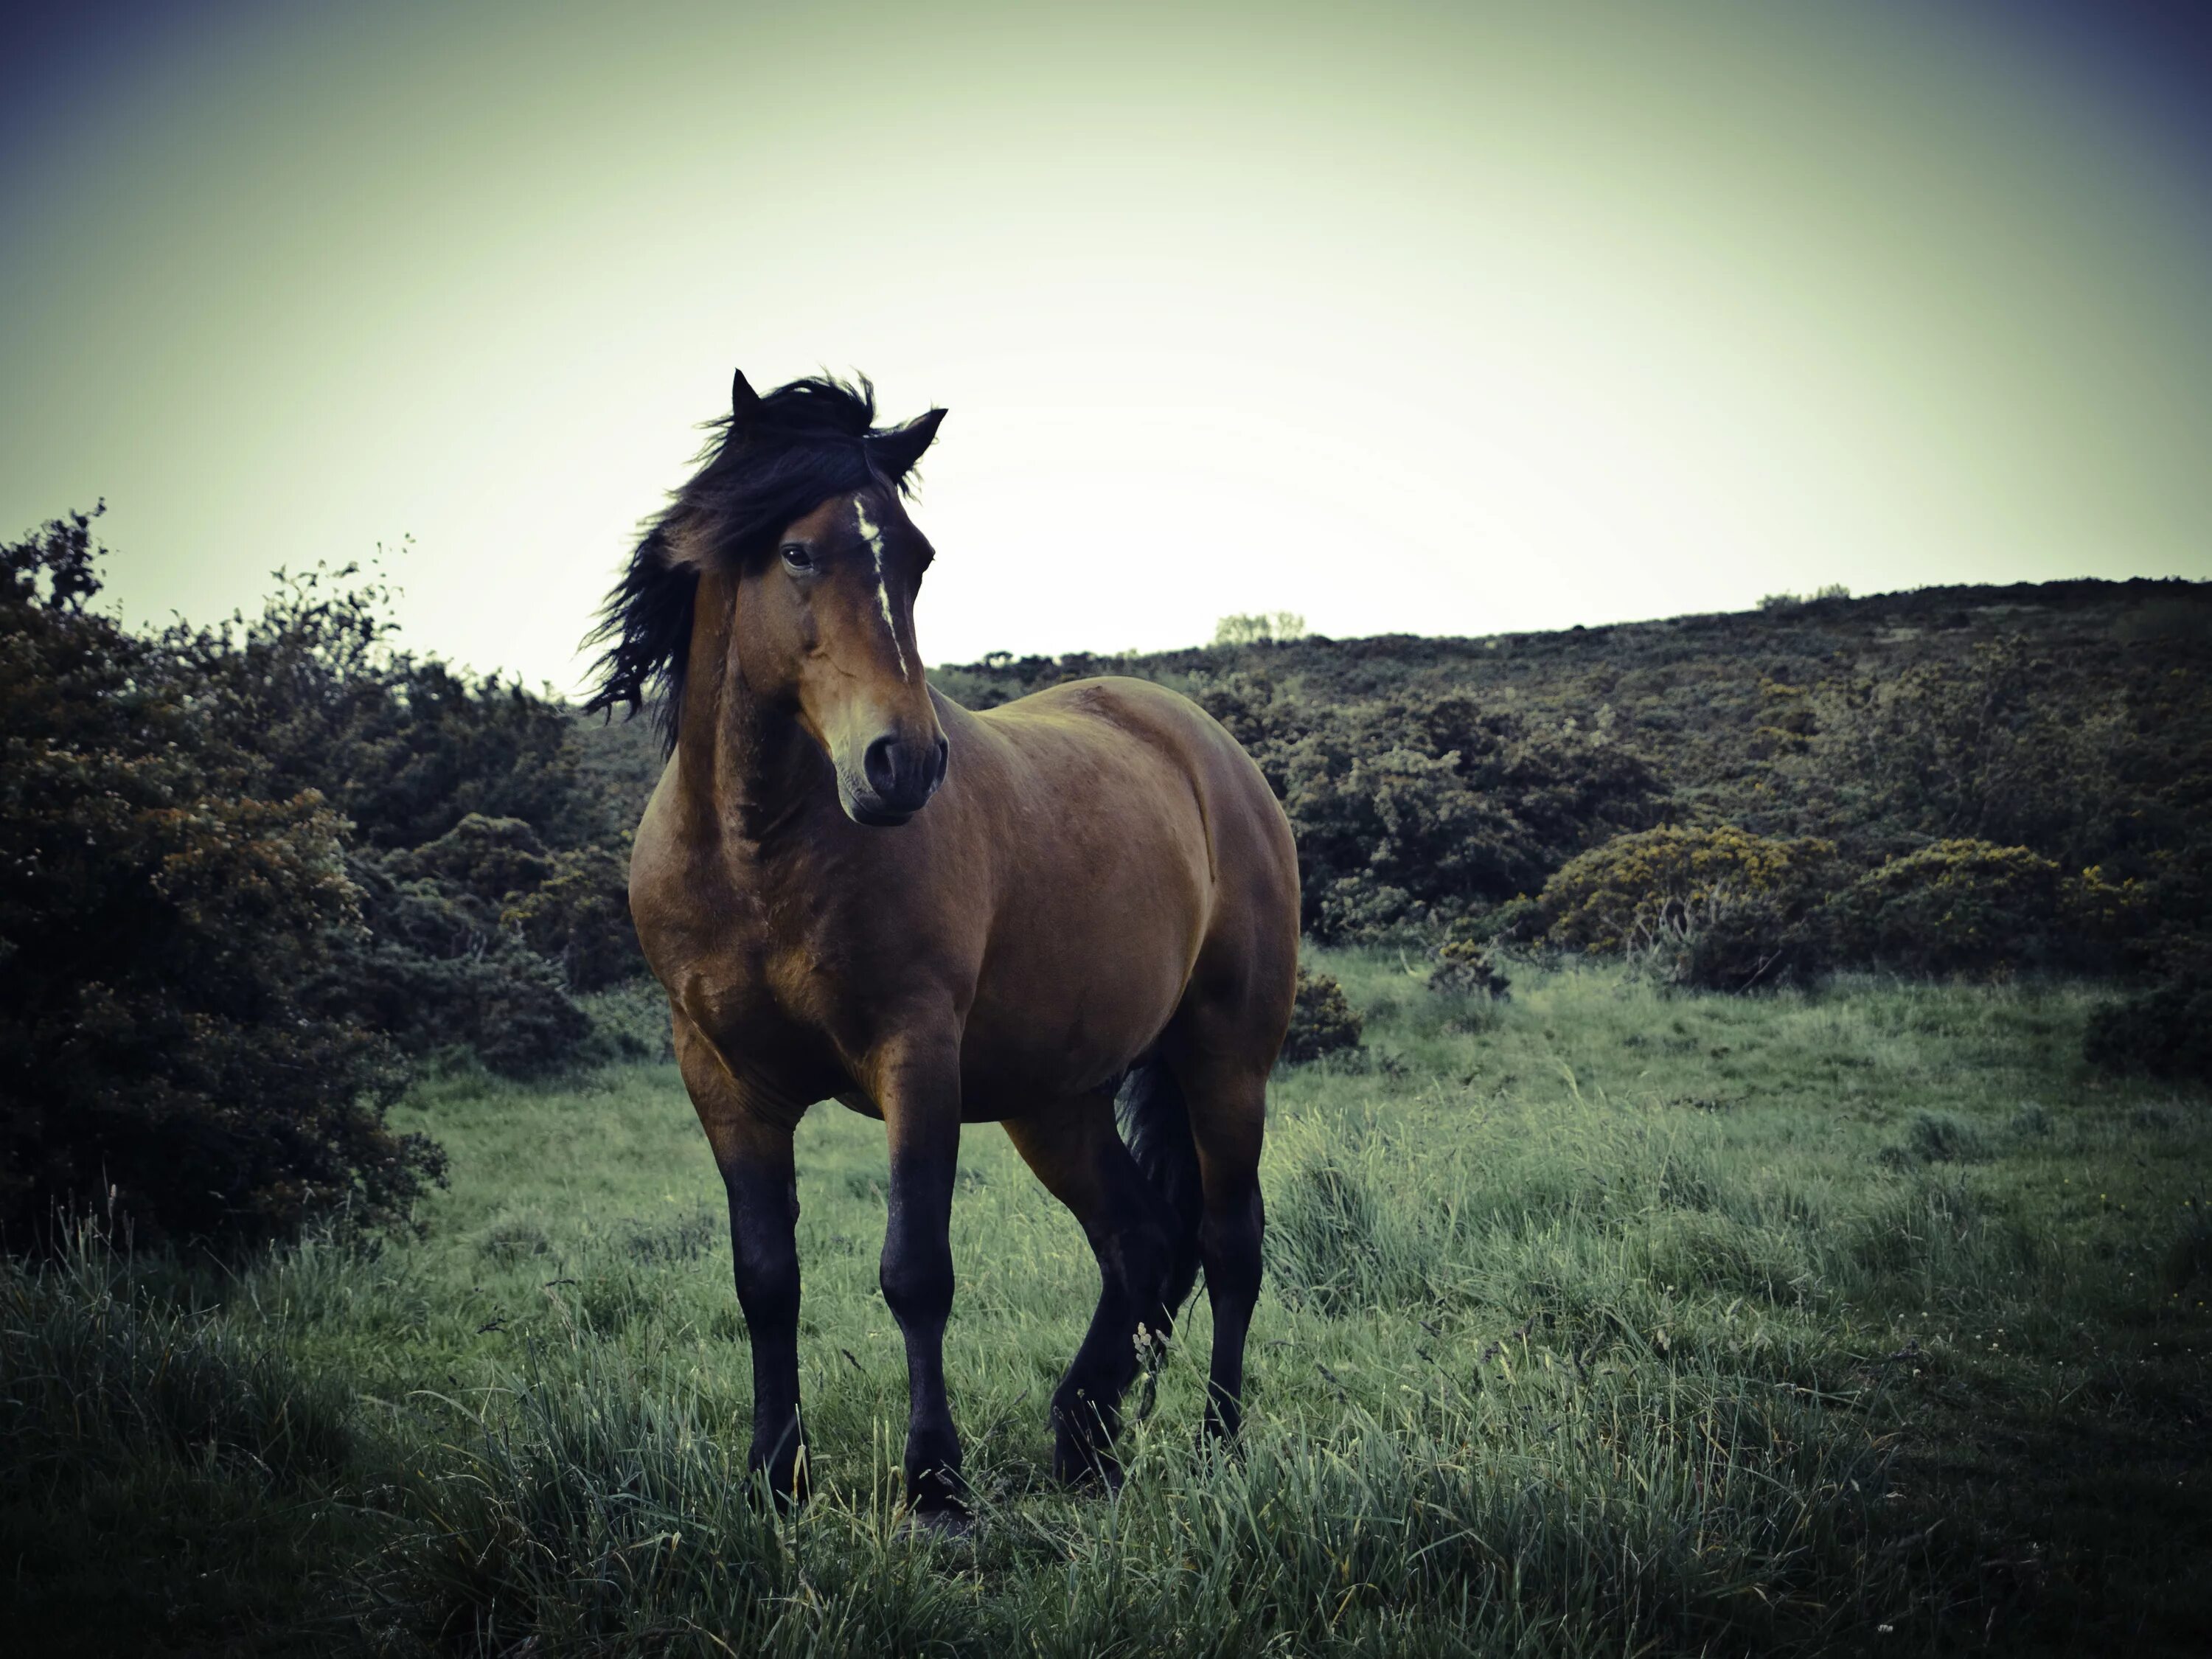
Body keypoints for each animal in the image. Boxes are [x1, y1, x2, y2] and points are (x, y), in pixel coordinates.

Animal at [580, 369, 1292, 1531]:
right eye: (797, 551)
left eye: (914, 556)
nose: (902, 764)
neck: (757, 853)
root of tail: (1209, 746)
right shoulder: (723, 1079)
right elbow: (765, 1278)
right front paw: (775, 1476)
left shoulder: (916, 1059)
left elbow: (916, 1271)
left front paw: (937, 1486)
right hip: (1056, 1098)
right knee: (1139, 1240)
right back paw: (1084, 1436)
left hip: (1226, 1058)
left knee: (1230, 1245)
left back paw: (1220, 1445)